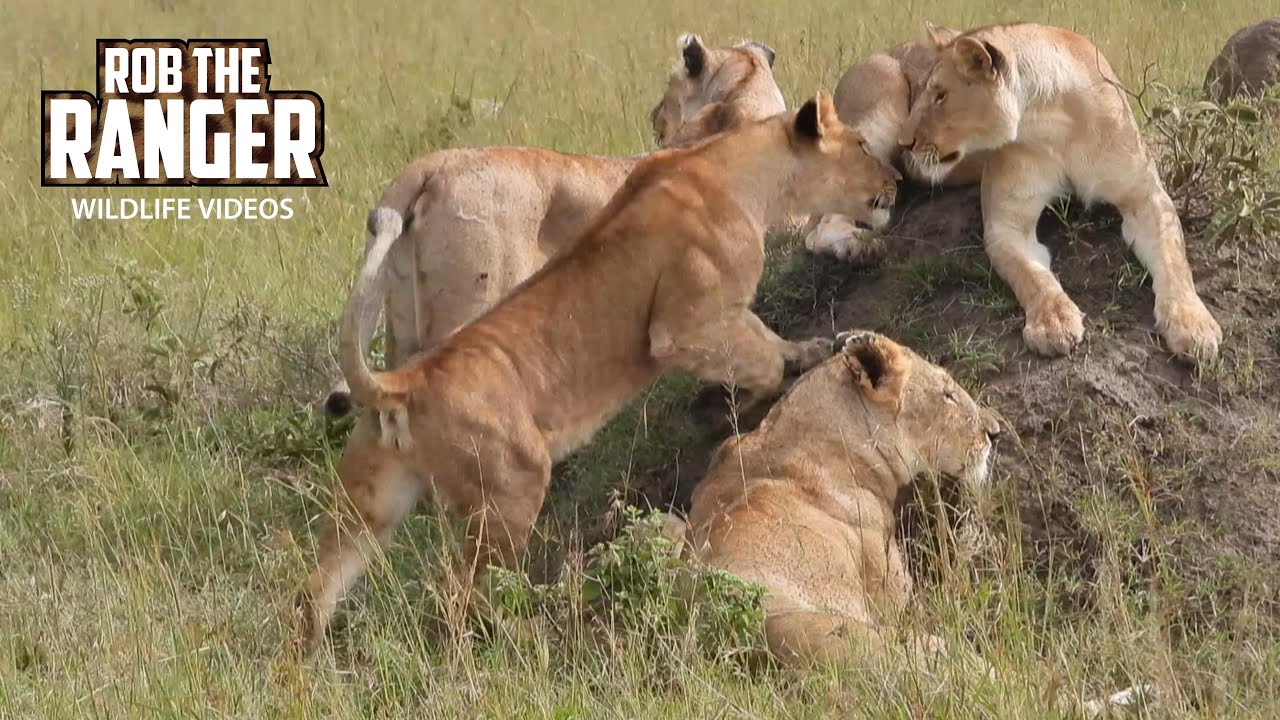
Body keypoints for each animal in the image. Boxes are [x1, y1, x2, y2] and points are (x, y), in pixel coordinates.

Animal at [296, 91, 900, 652]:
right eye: (863, 145)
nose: (896, 180)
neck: (738, 168)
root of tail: (402, 383)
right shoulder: (684, 324)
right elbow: (760, 358)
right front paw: (748, 397)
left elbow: (767, 341)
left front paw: (804, 351)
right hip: (510, 487)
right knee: (457, 592)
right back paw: (524, 636)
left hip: (369, 501)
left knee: (316, 587)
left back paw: (307, 663)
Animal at [664, 331, 1150, 716]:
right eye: (947, 394)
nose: (995, 433)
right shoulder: (891, 598)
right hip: (917, 648)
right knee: (1038, 696)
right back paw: (1140, 693)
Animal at [805, 22, 1222, 363]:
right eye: (926, 92)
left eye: (940, 95)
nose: (908, 144)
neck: (1055, 119)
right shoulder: (1005, 224)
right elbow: (1031, 276)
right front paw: (1053, 322)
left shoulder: (1146, 198)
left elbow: (1173, 258)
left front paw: (1194, 325)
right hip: (879, 111)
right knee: (816, 225)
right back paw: (860, 246)